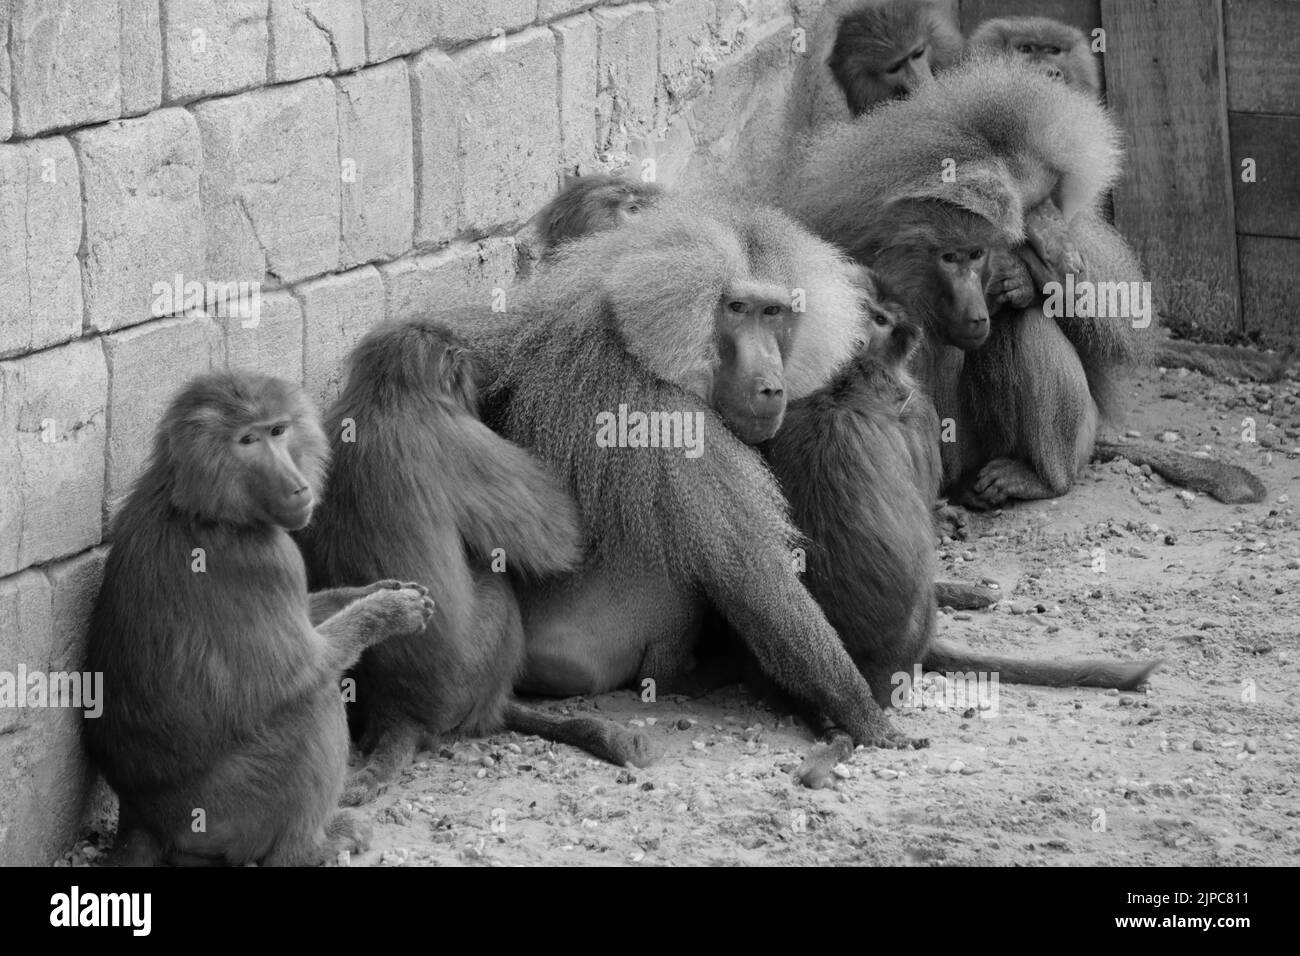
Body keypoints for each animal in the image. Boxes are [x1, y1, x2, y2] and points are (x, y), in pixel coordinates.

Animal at [83, 371, 435, 866]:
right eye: (247, 440)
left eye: (278, 431)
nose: (298, 487)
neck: (198, 504)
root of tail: (141, 818)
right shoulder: (269, 559)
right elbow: (307, 667)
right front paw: (391, 612)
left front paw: (381, 590)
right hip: (225, 809)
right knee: (313, 701)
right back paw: (312, 846)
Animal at [296, 319, 653, 805]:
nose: (476, 398)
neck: (382, 398)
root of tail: (398, 711)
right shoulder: (459, 438)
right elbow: (562, 537)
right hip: (472, 674)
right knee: (496, 585)